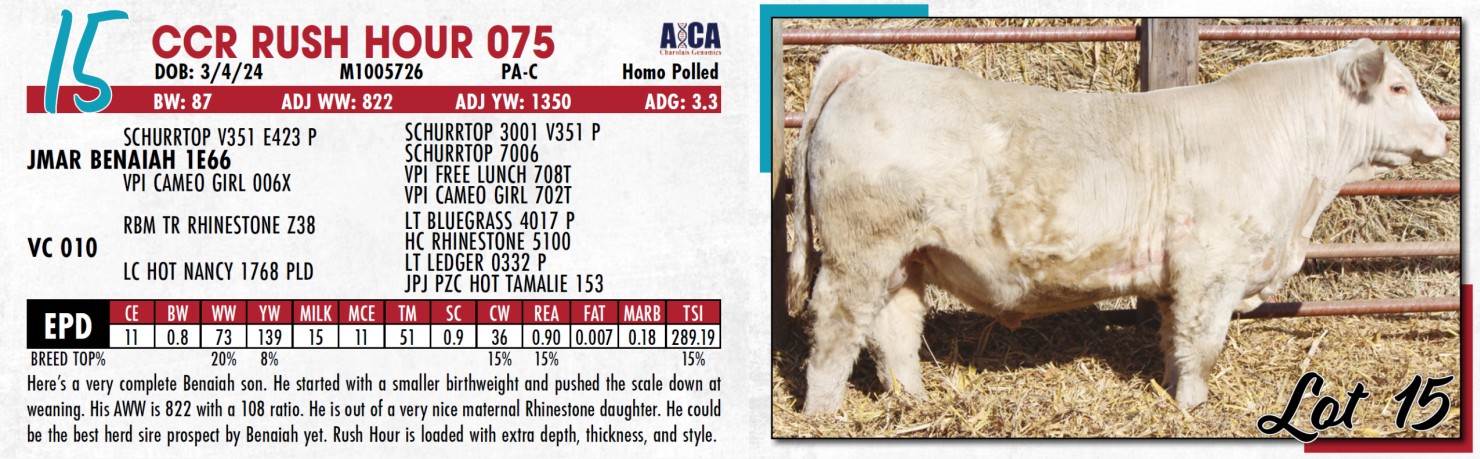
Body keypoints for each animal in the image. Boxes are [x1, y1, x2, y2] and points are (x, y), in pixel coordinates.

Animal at [787, 39, 1449, 415]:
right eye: (1397, 87)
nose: (1444, 133)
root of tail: (870, 62)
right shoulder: (1213, 269)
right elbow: (1203, 344)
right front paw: (1192, 409)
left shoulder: (1181, 279)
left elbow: (1175, 340)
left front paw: (1173, 390)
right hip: (858, 252)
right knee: (836, 330)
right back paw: (825, 413)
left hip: (907, 256)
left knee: (894, 329)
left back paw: (915, 401)